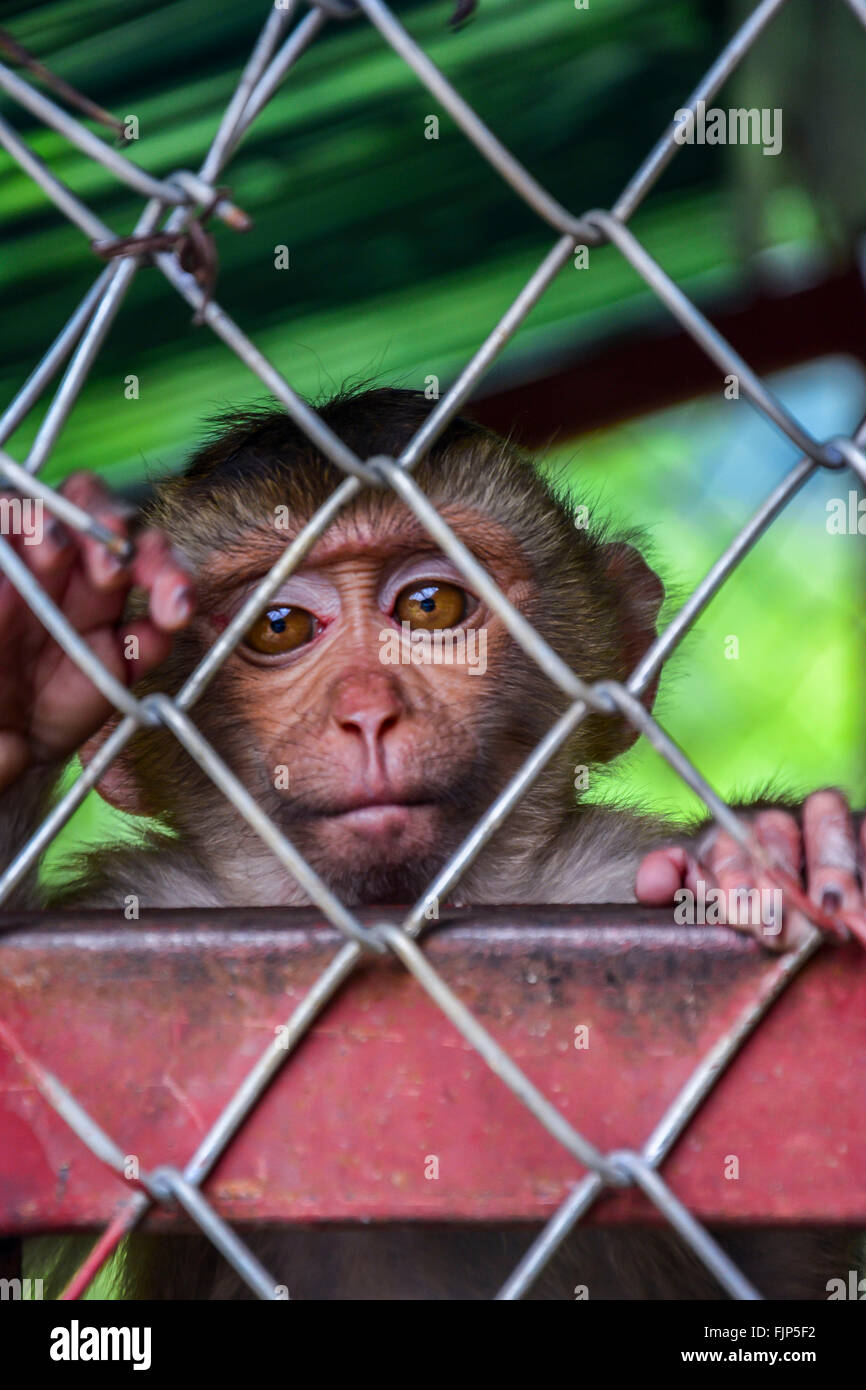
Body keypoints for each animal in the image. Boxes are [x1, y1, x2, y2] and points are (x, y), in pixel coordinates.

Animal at [0, 387, 862, 1299]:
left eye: (430, 607)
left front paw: (789, 844)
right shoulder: (153, 905)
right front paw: (28, 653)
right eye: (279, 625)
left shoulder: (602, 877)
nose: (368, 710)